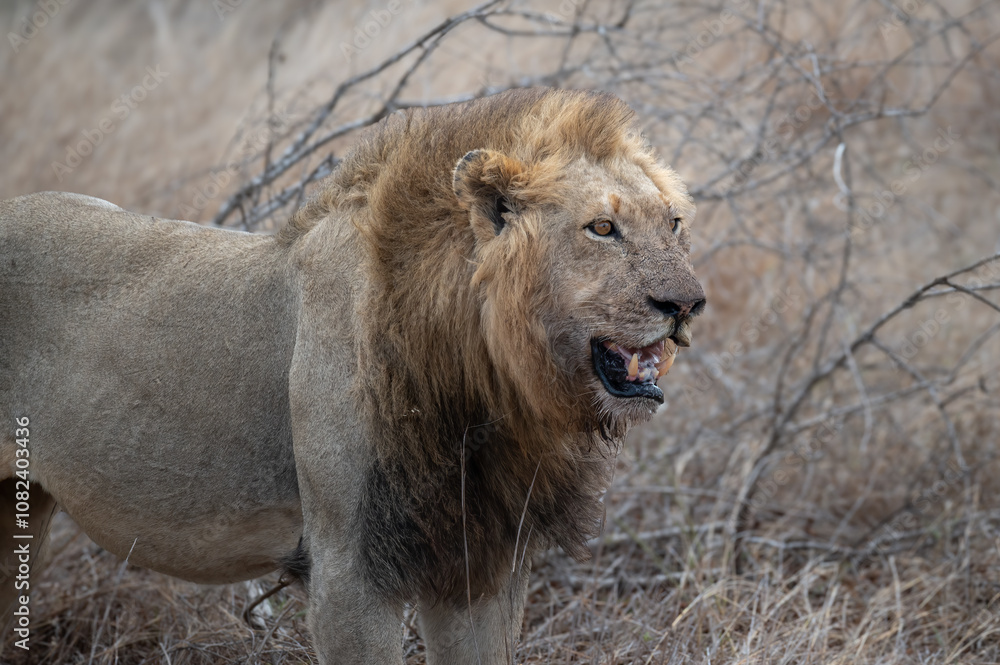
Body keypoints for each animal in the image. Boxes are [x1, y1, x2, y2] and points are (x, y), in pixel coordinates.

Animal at [0, 88, 705, 663]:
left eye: (674, 224)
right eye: (602, 227)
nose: (688, 305)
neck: (483, 385)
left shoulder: (479, 562)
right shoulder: (349, 571)